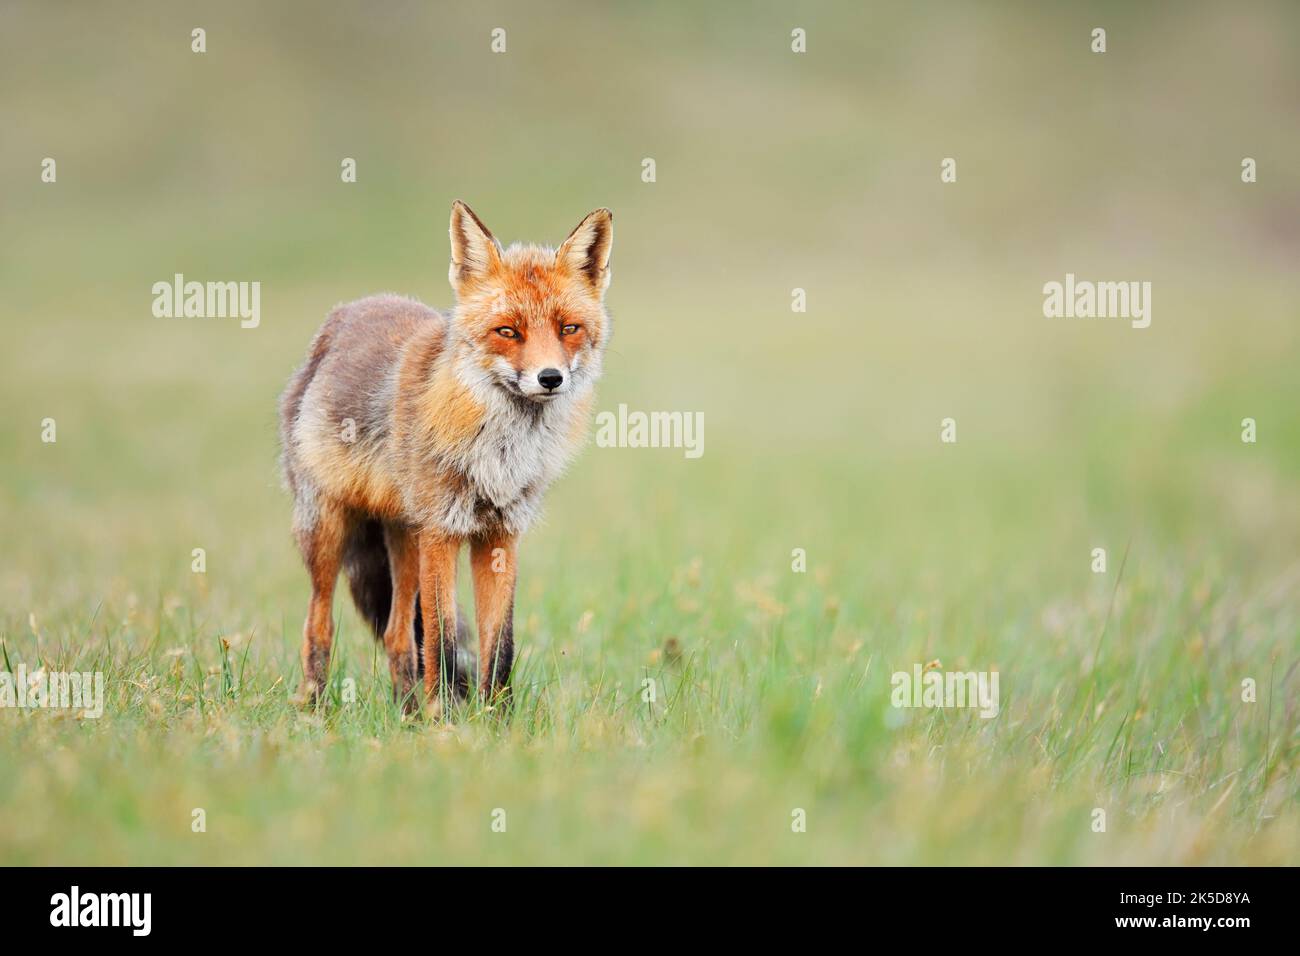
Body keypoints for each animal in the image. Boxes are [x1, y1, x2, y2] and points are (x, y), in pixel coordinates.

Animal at [279, 201, 613, 716]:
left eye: (568, 329)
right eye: (508, 331)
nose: (550, 377)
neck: (499, 451)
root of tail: (345, 315)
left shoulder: (500, 534)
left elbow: (500, 646)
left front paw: (495, 719)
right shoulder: (442, 531)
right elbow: (441, 637)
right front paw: (446, 720)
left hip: (404, 540)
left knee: (397, 635)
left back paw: (407, 714)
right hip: (328, 531)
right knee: (318, 626)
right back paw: (316, 708)